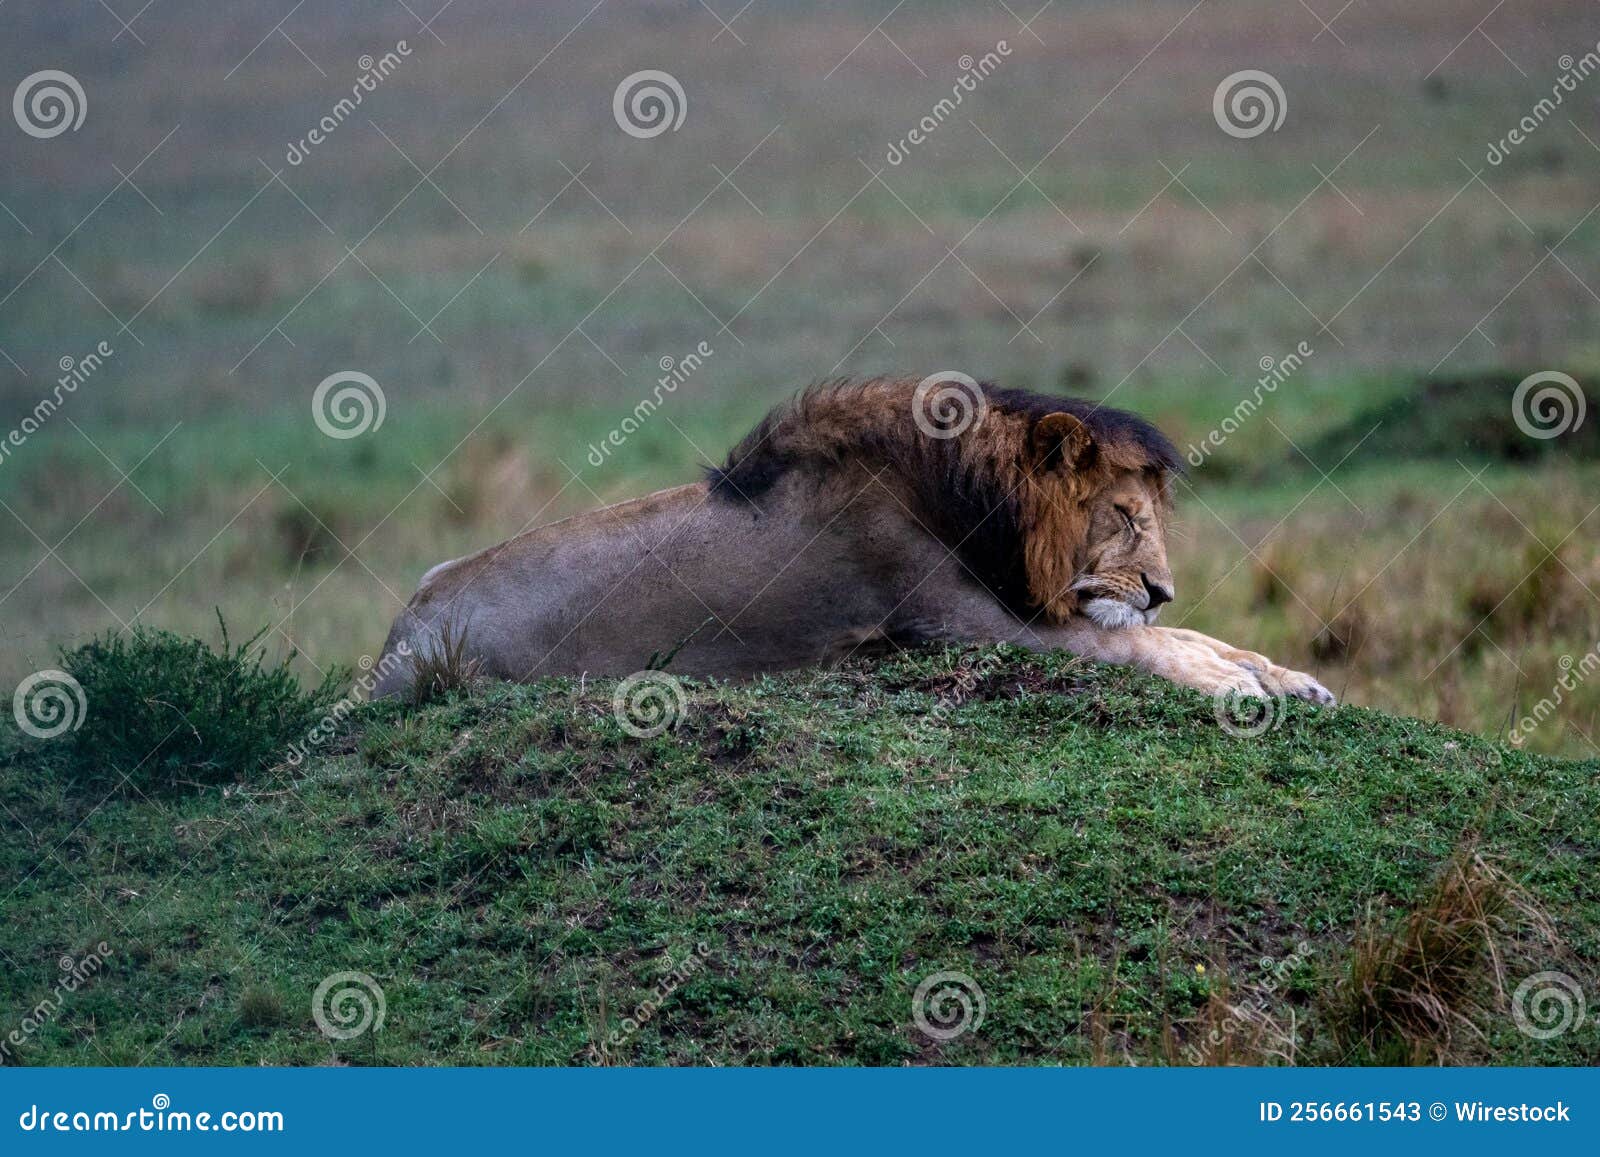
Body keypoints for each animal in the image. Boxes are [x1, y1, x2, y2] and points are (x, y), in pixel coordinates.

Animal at [373, 376, 1334, 706]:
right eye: (1127, 517)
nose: (1161, 587)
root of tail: (400, 629)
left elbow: (1194, 635)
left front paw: (1287, 675)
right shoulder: (962, 627)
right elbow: (1141, 647)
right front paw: (1230, 681)